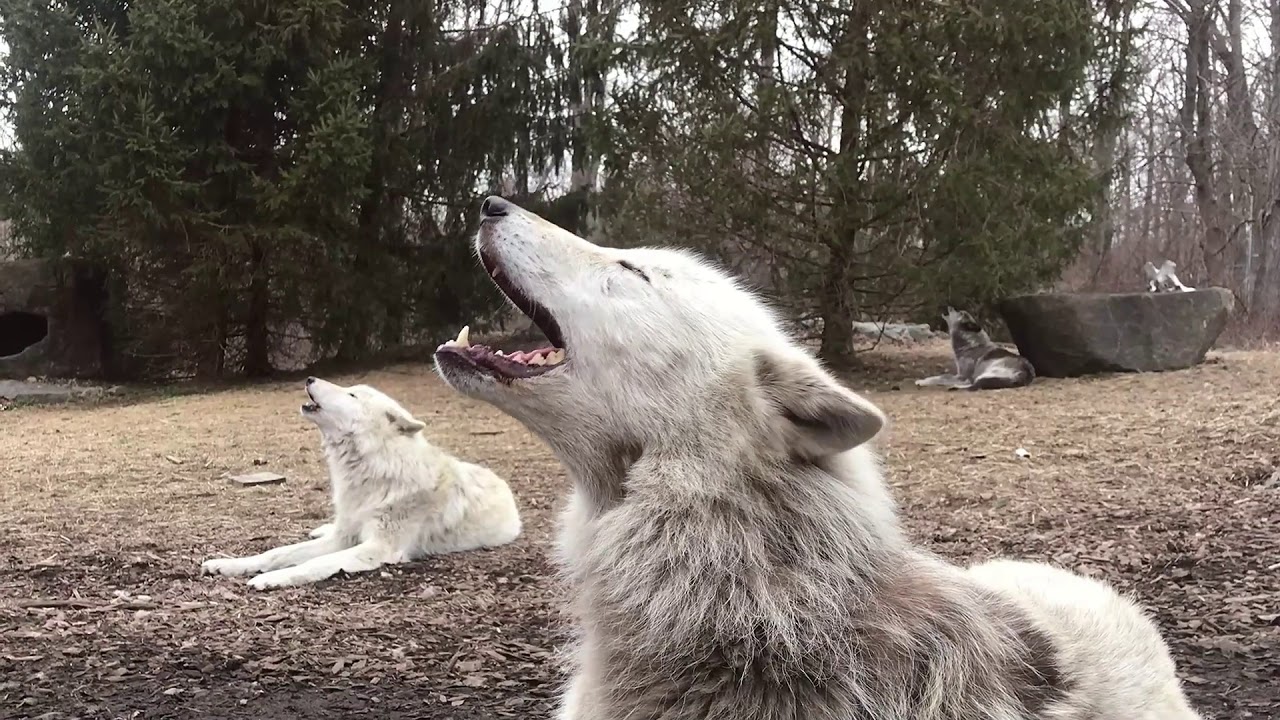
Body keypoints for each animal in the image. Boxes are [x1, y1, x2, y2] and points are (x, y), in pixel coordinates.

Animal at [200, 377, 521, 590]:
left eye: (352, 394)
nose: (309, 378)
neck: (368, 473)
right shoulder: (343, 538)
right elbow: (276, 553)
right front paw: (228, 564)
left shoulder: (378, 547)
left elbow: (313, 564)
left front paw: (270, 578)